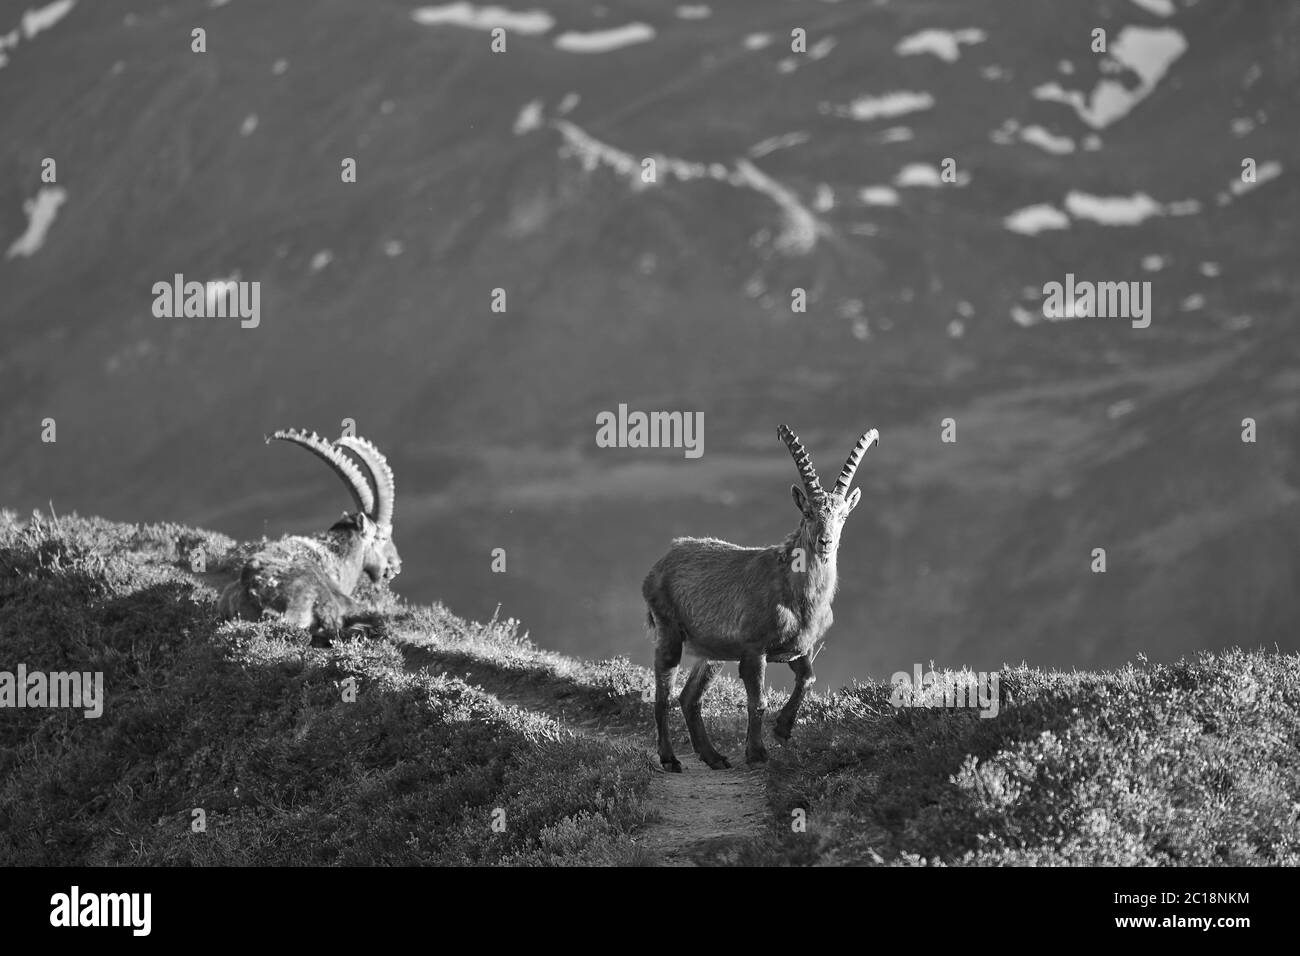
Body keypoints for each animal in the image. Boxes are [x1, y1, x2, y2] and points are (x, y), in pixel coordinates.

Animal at [643, 424, 878, 771]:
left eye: (843, 515)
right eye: (808, 512)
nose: (826, 541)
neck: (796, 592)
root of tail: (661, 561)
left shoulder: (799, 647)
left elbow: (808, 678)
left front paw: (783, 729)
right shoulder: (755, 651)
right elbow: (758, 702)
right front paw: (756, 752)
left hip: (712, 652)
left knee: (689, 697)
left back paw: (713, 757)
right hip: (669, 631)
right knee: (664, 696)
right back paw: (670, 759)